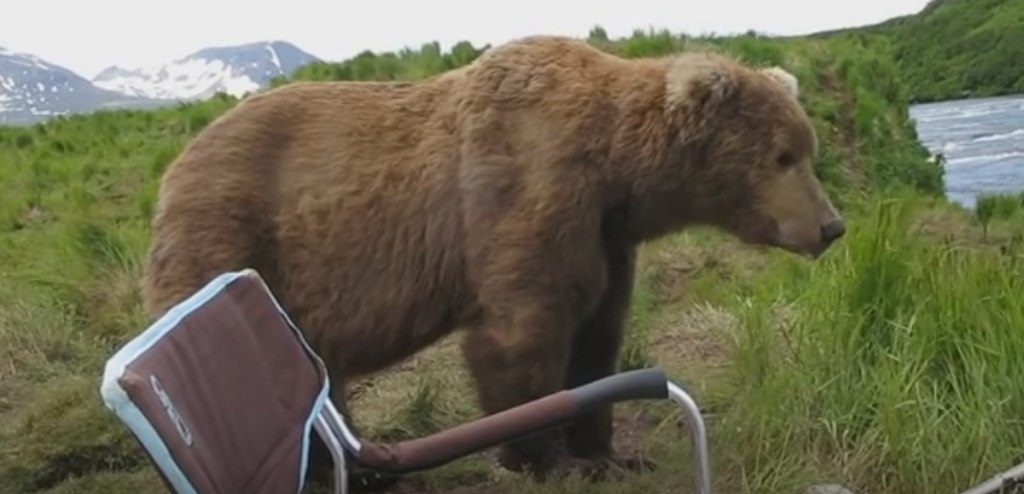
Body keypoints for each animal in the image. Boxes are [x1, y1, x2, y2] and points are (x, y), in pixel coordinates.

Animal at [141, 34, 845, 487]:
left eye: (804, 148)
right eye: (784, 155)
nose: (831, 226)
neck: (618, 171)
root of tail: (175, 164)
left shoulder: (607, 237)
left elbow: (598, 337)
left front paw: (611, 454)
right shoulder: (526, 190)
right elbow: (523, 331)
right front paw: (546, 458)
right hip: (233, 236)